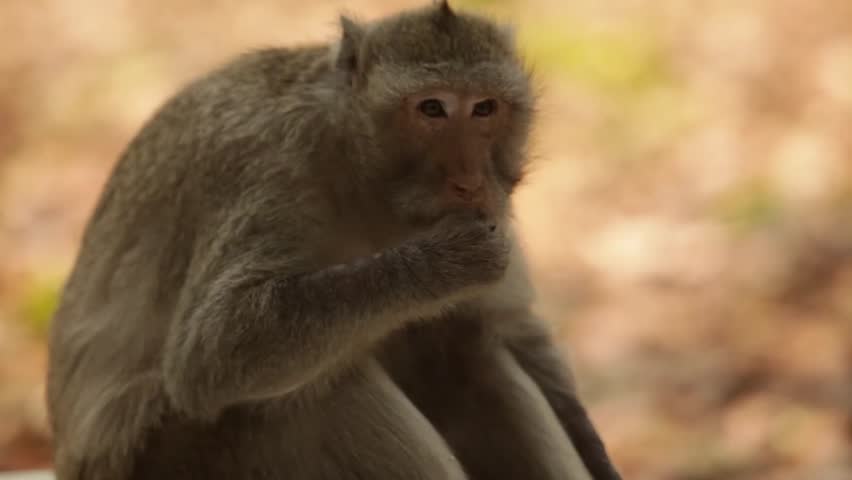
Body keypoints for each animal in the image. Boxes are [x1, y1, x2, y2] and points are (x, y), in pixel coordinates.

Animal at [46, 2, 622, 479]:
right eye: (431, 109)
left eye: (485, 109)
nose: (469, 180)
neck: (365, 178)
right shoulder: (273, 171)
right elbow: (211, 354)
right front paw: (439, 265)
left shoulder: (494, 209)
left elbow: (513, 328)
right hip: (181, 457)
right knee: (307, 390)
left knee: (459, 341)